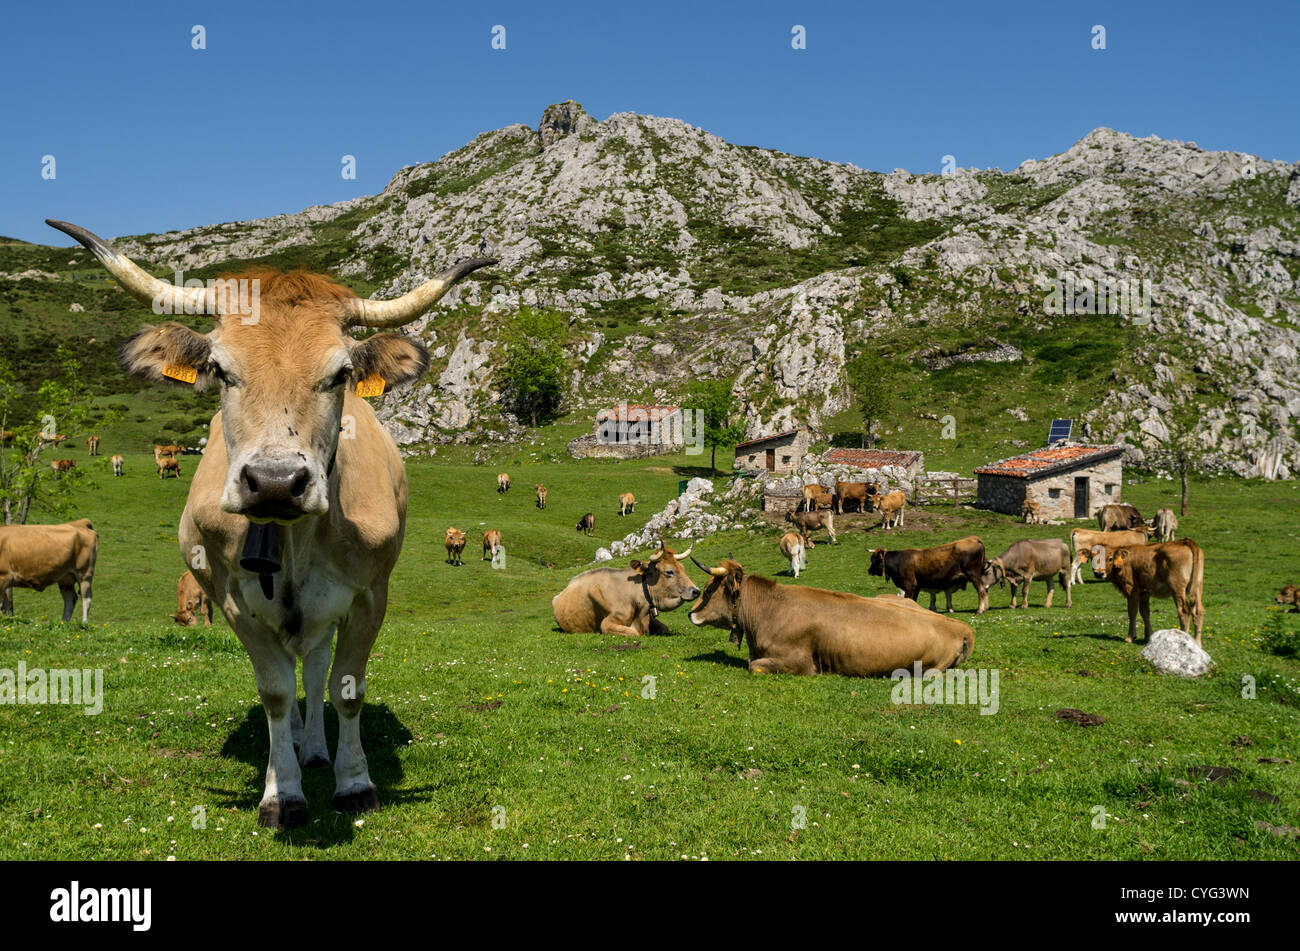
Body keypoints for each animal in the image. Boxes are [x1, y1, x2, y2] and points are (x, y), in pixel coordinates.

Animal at [49, 217, 494, 829]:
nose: (277, 481)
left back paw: (316, 749)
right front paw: (282, 794)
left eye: (341, 373)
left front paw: (354, 783)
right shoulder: (234, 601)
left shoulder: (369, 595)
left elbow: (346, 688)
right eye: (220, 370)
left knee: (318, 668)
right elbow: (277, 693)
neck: (296, 541)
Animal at [552, 543, 699, 637]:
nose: (696, 591)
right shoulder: (608, 622)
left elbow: (664, 628)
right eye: (669, 571)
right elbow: (634, 633)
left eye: (682, 567)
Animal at [687, 558, 973, 676]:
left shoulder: (798, 662)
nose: (691, 613)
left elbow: (753, 666)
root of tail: (961, 627)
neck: (769, 610)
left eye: (710, 589)